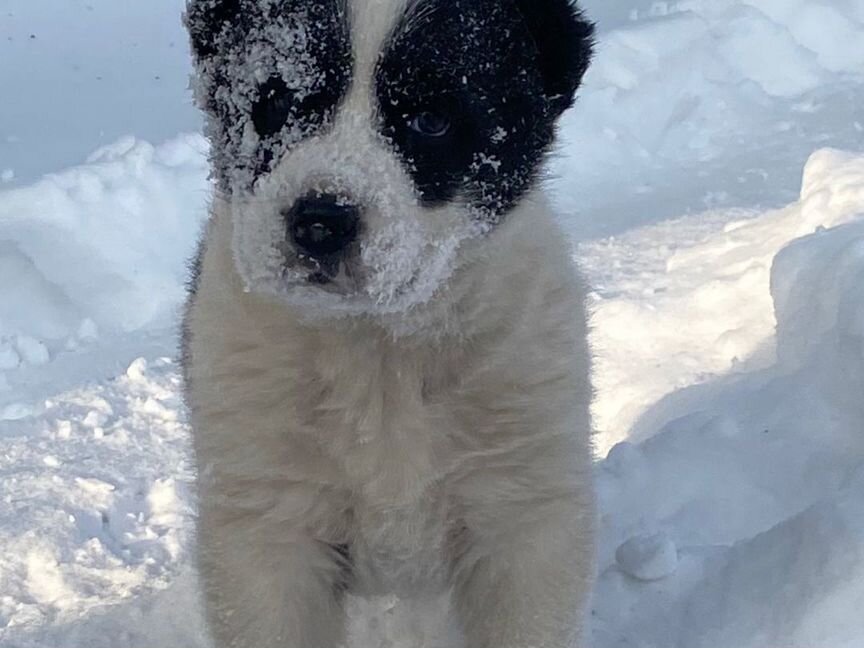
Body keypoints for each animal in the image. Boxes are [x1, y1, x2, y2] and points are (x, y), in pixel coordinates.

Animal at [183, 1, 596, 648]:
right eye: (275, 99)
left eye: (430, 120)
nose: (319, 222)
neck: (378, 347)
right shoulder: (267, 523)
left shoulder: (523, 513)